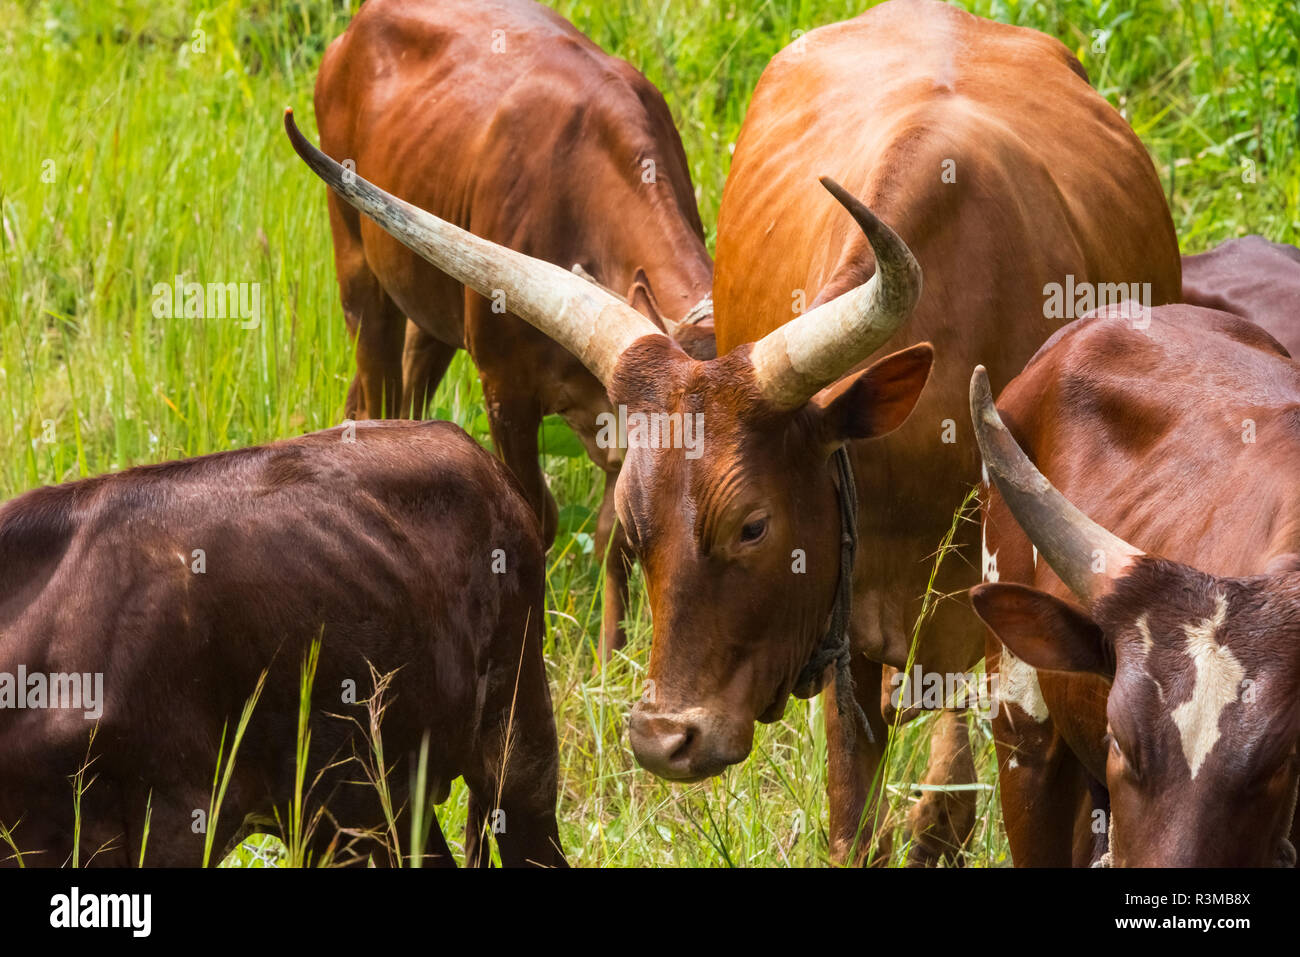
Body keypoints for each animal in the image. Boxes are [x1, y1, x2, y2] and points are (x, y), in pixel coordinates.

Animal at [314, 0, 715, 660]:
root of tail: (356, 26)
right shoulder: (505, 388)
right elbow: (537, 517)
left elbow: (612, 535)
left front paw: (609, 654)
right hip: (361, 271)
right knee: (380, 387)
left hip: (433, 307)